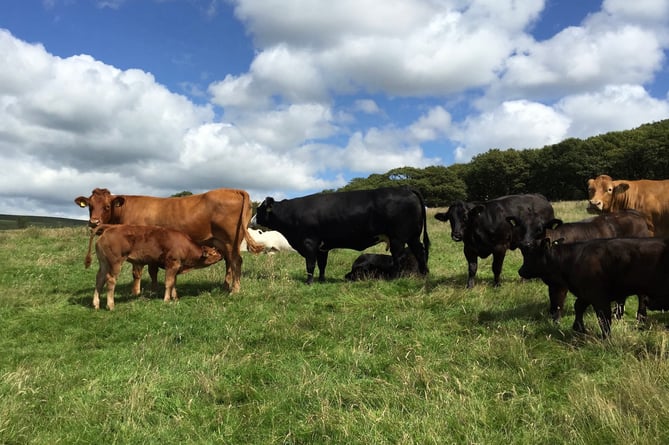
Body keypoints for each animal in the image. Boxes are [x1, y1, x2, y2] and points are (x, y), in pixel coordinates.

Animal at [74, 188, 262, 294]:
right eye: (90, 206)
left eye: (107, 206)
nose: (94, 222)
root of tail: (234, 190)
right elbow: (153, 270)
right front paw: (153, 290)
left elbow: (137, 271)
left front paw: (136, 293)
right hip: (224, 242)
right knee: (229, 262)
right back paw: (226, 286)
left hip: (231, 240)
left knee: (236, 261)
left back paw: (234, 290)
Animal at [84, 224, 223, 310]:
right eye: (213, 253)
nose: (222, 256)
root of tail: (109, 228)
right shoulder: (172, 264)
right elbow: (168, 283)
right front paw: (167, 299)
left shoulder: (176, 267)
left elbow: (174, 283)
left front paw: (175, 298)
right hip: (115, 263)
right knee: (110, 280)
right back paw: (111, 305)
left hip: (104, 263)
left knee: (99, 280)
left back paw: (96, 304)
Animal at [253, 187, 430, 284]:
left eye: (259, 209)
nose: (252, 221)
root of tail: (406, 189)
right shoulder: (322, 247)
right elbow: (322, 265)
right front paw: (321, 280)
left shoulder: (309, 243)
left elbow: (310, 265)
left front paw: (309, 282)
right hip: (413, 237)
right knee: (420, 252)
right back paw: (424, 274)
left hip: (398, 238)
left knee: (398, 257)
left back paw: (395, 278)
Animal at [509, 210, 652, 322]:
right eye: (521, 228)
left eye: (539, 229)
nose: (526, 243)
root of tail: (635, 214)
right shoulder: (552, 282)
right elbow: (553, 302)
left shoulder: (562, 283)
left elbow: (558, 302)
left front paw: (556, 323)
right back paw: (618, 315)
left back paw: (641, 317)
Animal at [518, 237, 669, 338]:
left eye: (530, 253)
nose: (520, 271)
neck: (572, 259)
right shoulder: (586, 294)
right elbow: (578, 306)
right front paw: (579, 328)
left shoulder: (599, 298)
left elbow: (604, 320)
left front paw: (606, 338)